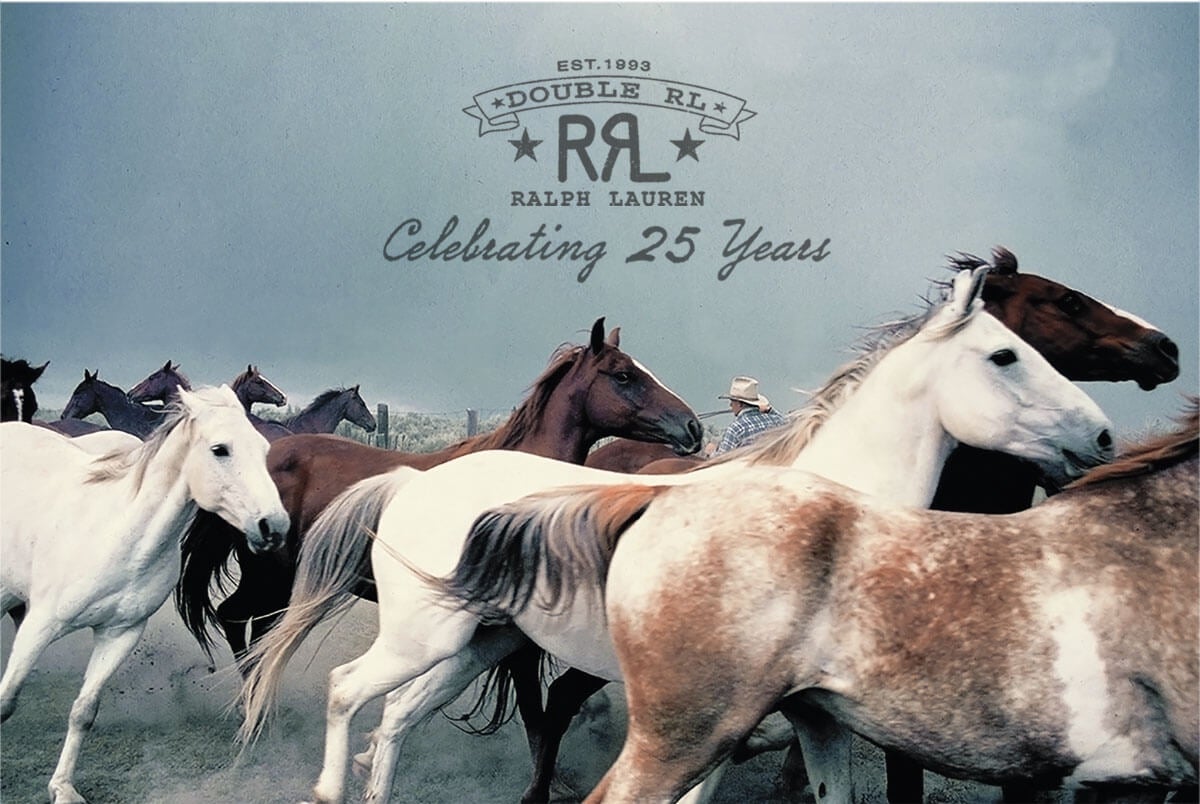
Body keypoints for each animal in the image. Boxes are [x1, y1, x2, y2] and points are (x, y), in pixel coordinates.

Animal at [0, 386, 289, 804]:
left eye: (264, 449)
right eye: (220, 450)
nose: (274, 527)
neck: (121, 534)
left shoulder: (120, 633)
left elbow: (84, 711)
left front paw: (63, 787)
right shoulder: (41, 624)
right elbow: (5, 701)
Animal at [236, 266, 1113, 804]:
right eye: (1006, 355)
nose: (1103, 437)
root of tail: (413, 481)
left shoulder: (807, 718)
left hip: (481, 645)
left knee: (395, 719)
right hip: (424, 638)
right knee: (349, 690)